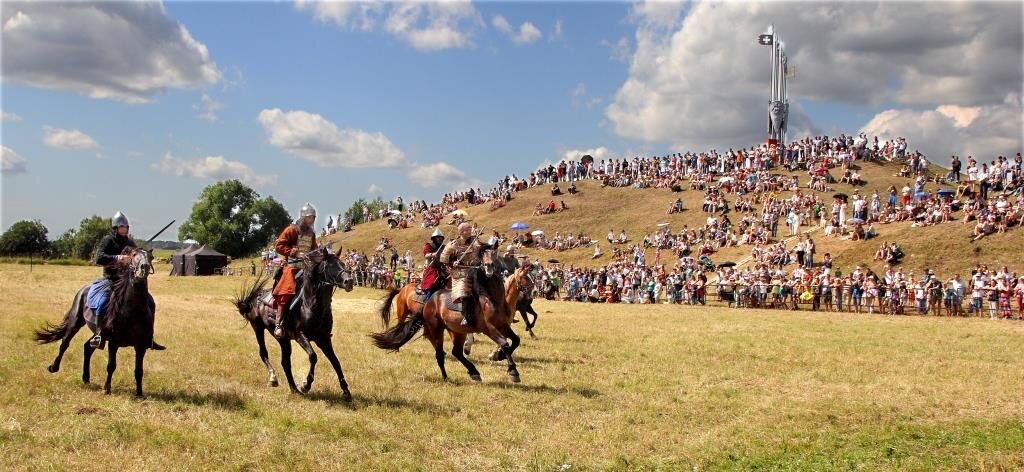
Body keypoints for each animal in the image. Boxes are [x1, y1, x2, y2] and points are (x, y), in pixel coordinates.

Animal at [34, 244, 155, 395]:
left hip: (98, 334)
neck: (133, 311)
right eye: (133, 255)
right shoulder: (113, 342)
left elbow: (139, 370)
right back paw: (54, 367)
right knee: (65, 343)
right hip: (76, 321)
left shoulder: (141, 345)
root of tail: (84, 289)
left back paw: (86, 378)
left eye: (151, 257)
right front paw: (107, 389)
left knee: (88, 347)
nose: (144, 268)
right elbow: (111, 365)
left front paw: (139, 393)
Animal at [233, 246, 356, 397]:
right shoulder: (300, 336)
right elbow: (313, 356)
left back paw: (293, 388)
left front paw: (345, 390)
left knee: (285, 362)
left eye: (343, 264)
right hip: (258, 328)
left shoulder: (324, 339)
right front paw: (306, 385)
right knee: (263, 353)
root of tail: (255, 298)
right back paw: (274, 378)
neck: (311, 305)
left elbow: (335, 361)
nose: (349, 281)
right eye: (331, 265)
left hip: (283, 339)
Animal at [372, 246, 524, 382]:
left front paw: (500, 356)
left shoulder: (503, 325)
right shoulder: (488, 328)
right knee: (439, 353)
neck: (491, 299)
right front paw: (513, 371)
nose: (488, 266)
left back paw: (473, 372)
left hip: (457, 331)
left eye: (493, 253)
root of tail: (430, 301)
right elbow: (504, 343)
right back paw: (446, 377)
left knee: (456, 351)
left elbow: (515, 340)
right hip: (435, 328)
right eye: (482, 255)